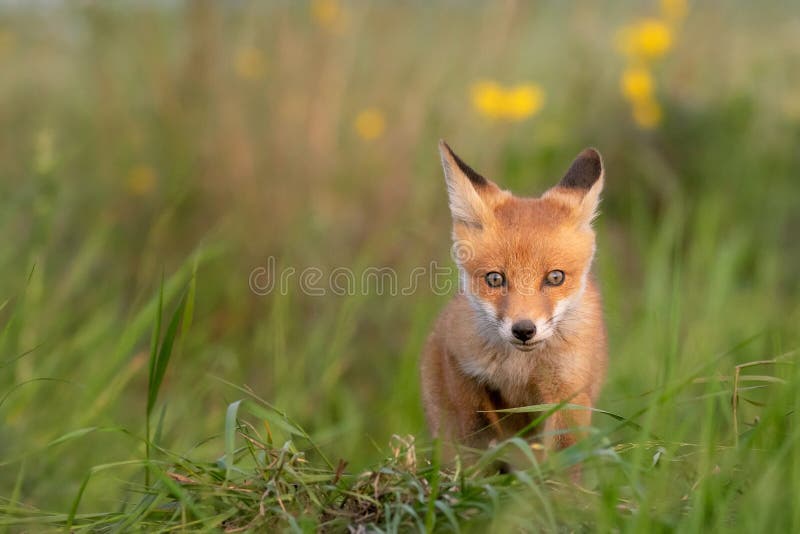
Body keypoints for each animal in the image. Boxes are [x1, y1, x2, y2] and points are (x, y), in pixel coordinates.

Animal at [420, 141, 607, 461]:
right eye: (495, 279)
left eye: (555, 277)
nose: (523, 330)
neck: (520, 370)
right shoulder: (463, 371)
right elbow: (477, 441)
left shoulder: (567, 392)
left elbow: (563, 458)